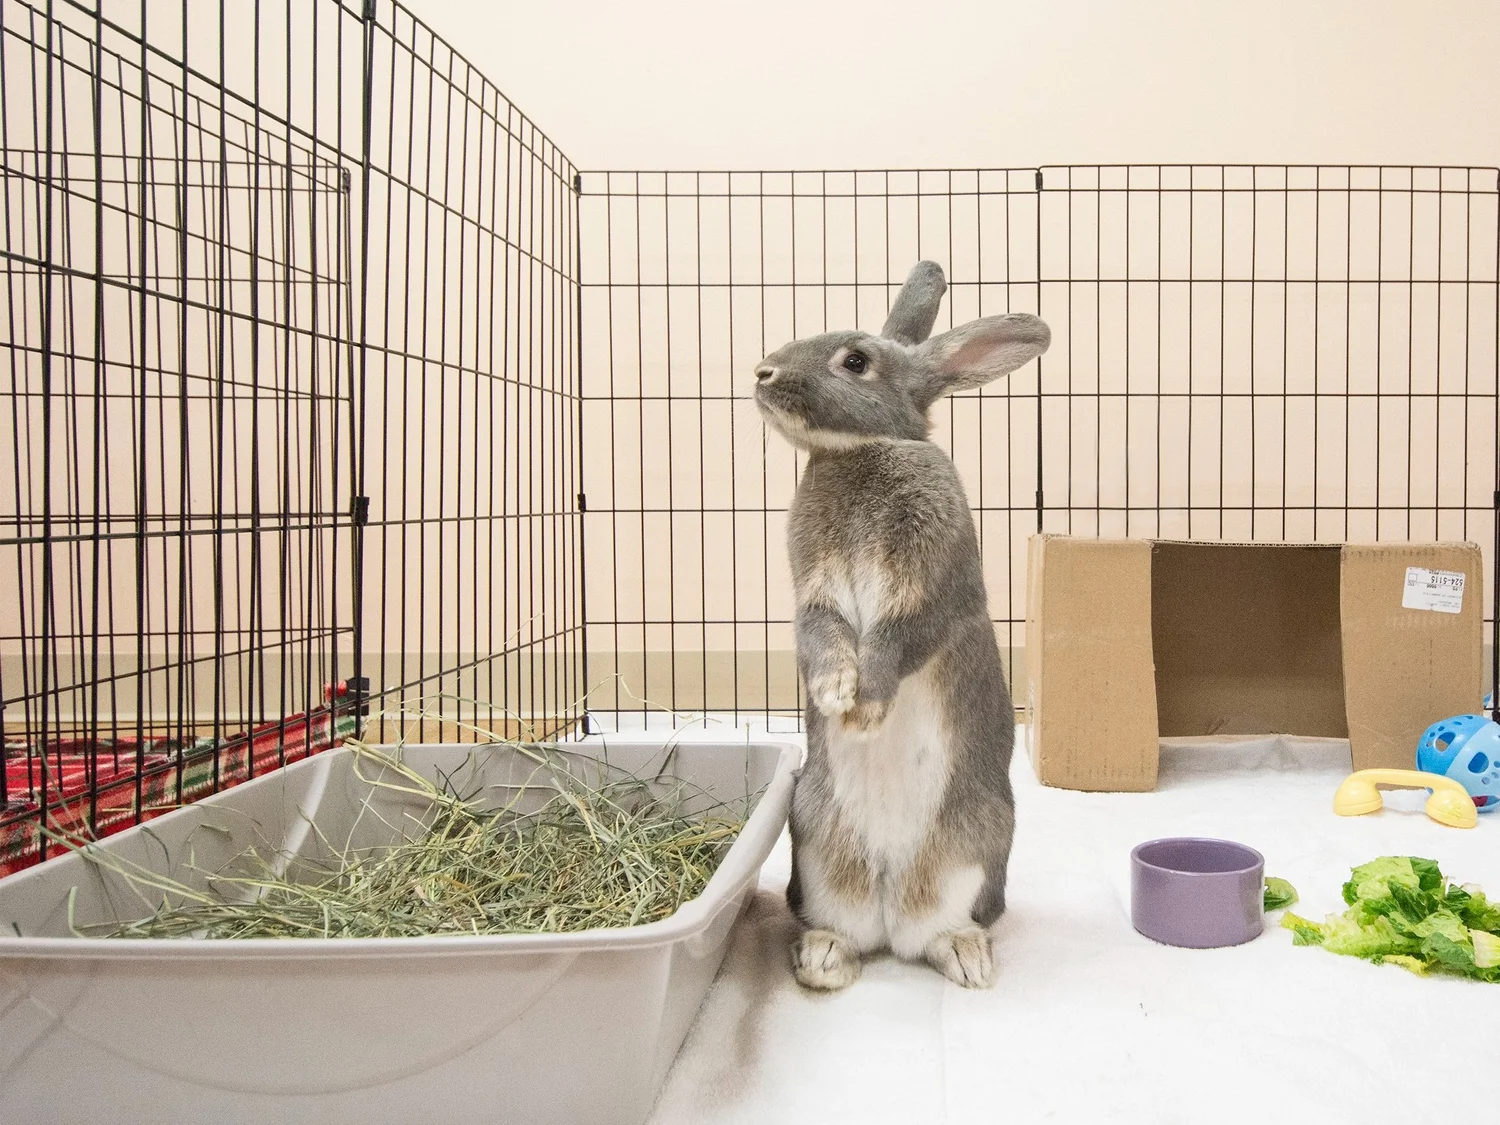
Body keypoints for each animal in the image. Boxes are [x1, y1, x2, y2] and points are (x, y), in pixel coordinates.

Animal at [752, 260, 1050, 990]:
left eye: (856, 360)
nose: (763, 371)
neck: (862, 450)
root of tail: (889, 907)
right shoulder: (815, 595)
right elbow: (823, 636)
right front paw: (835, 693)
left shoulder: (933, 591)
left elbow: (895, 640)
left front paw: (865, 709)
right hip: (816, 846)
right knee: (846, 926)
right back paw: (824, 960)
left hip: (975, 850)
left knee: (939, 931)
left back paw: (969, 961)